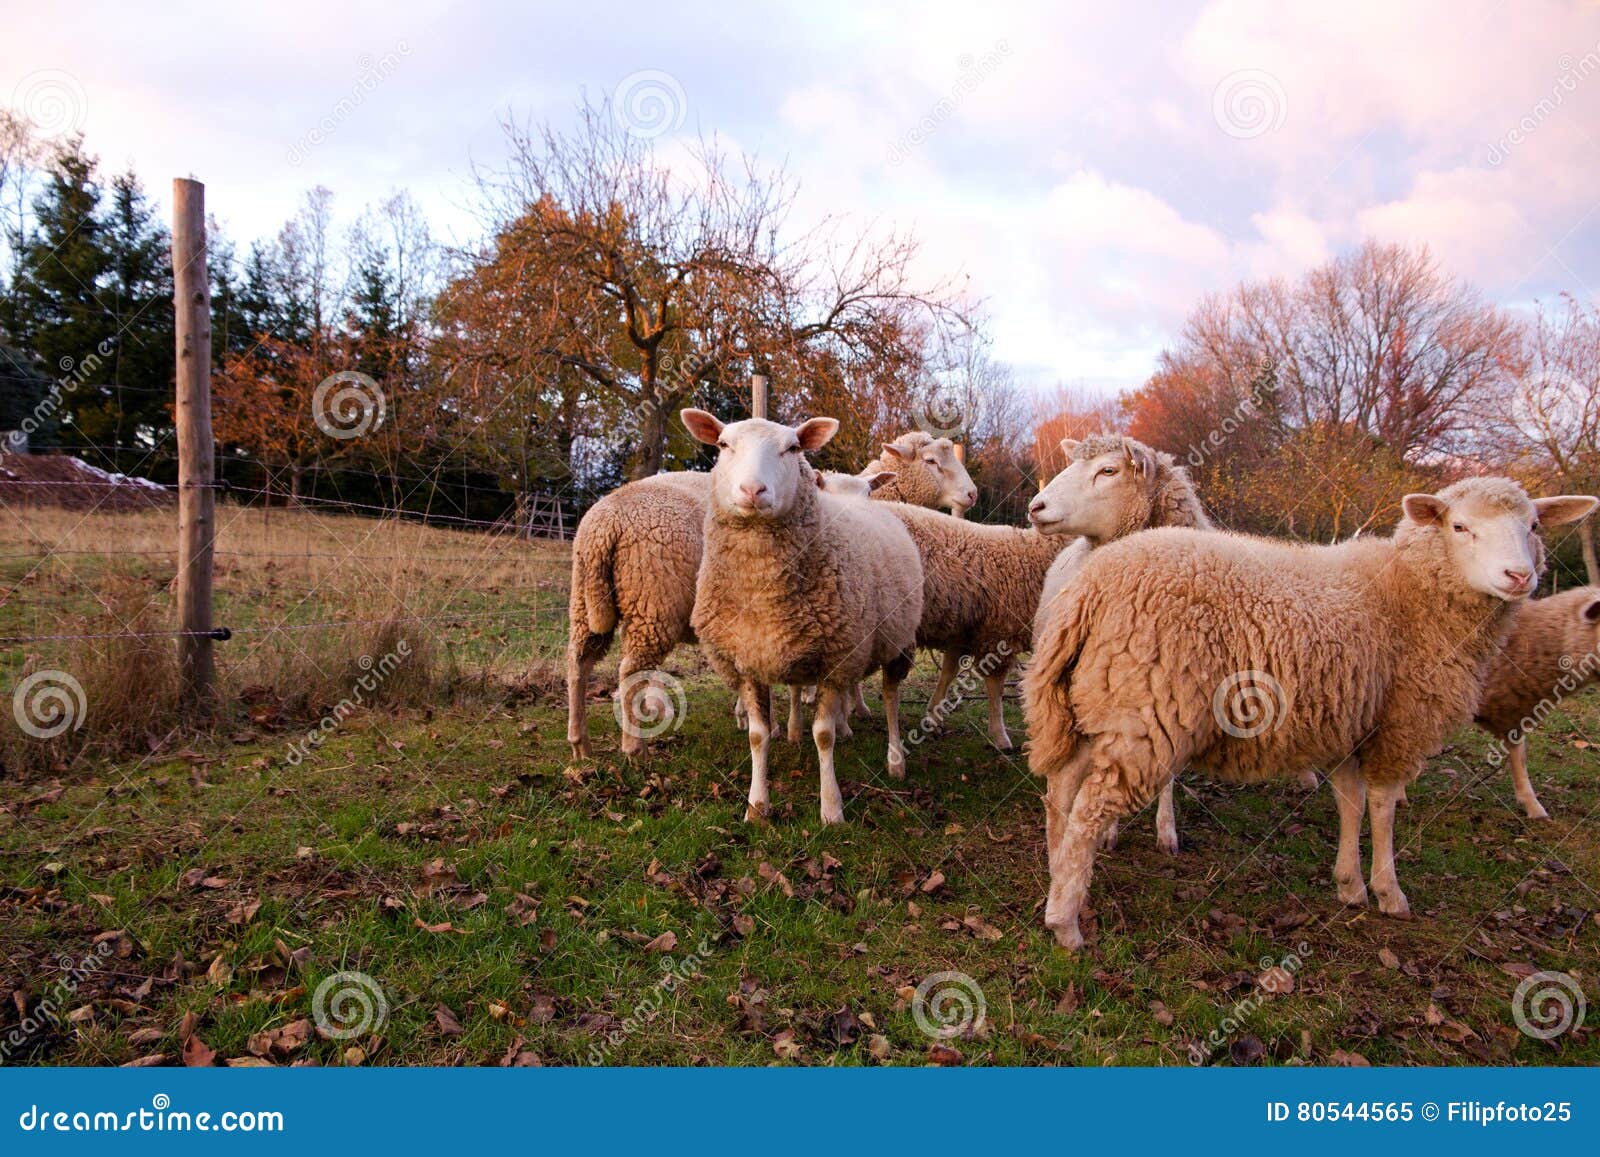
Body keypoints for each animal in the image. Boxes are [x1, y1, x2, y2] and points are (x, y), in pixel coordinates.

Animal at [681, 409, 922, 824]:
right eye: (723, 445)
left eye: (792, 448)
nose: (753, 490)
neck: (761, 593)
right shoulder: (747, 659)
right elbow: (758, 735)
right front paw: (757, 807)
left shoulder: (836, 658)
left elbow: (823, 735)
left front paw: (831, 808)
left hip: (898, 642)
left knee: (891, 698)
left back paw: (895, 761)